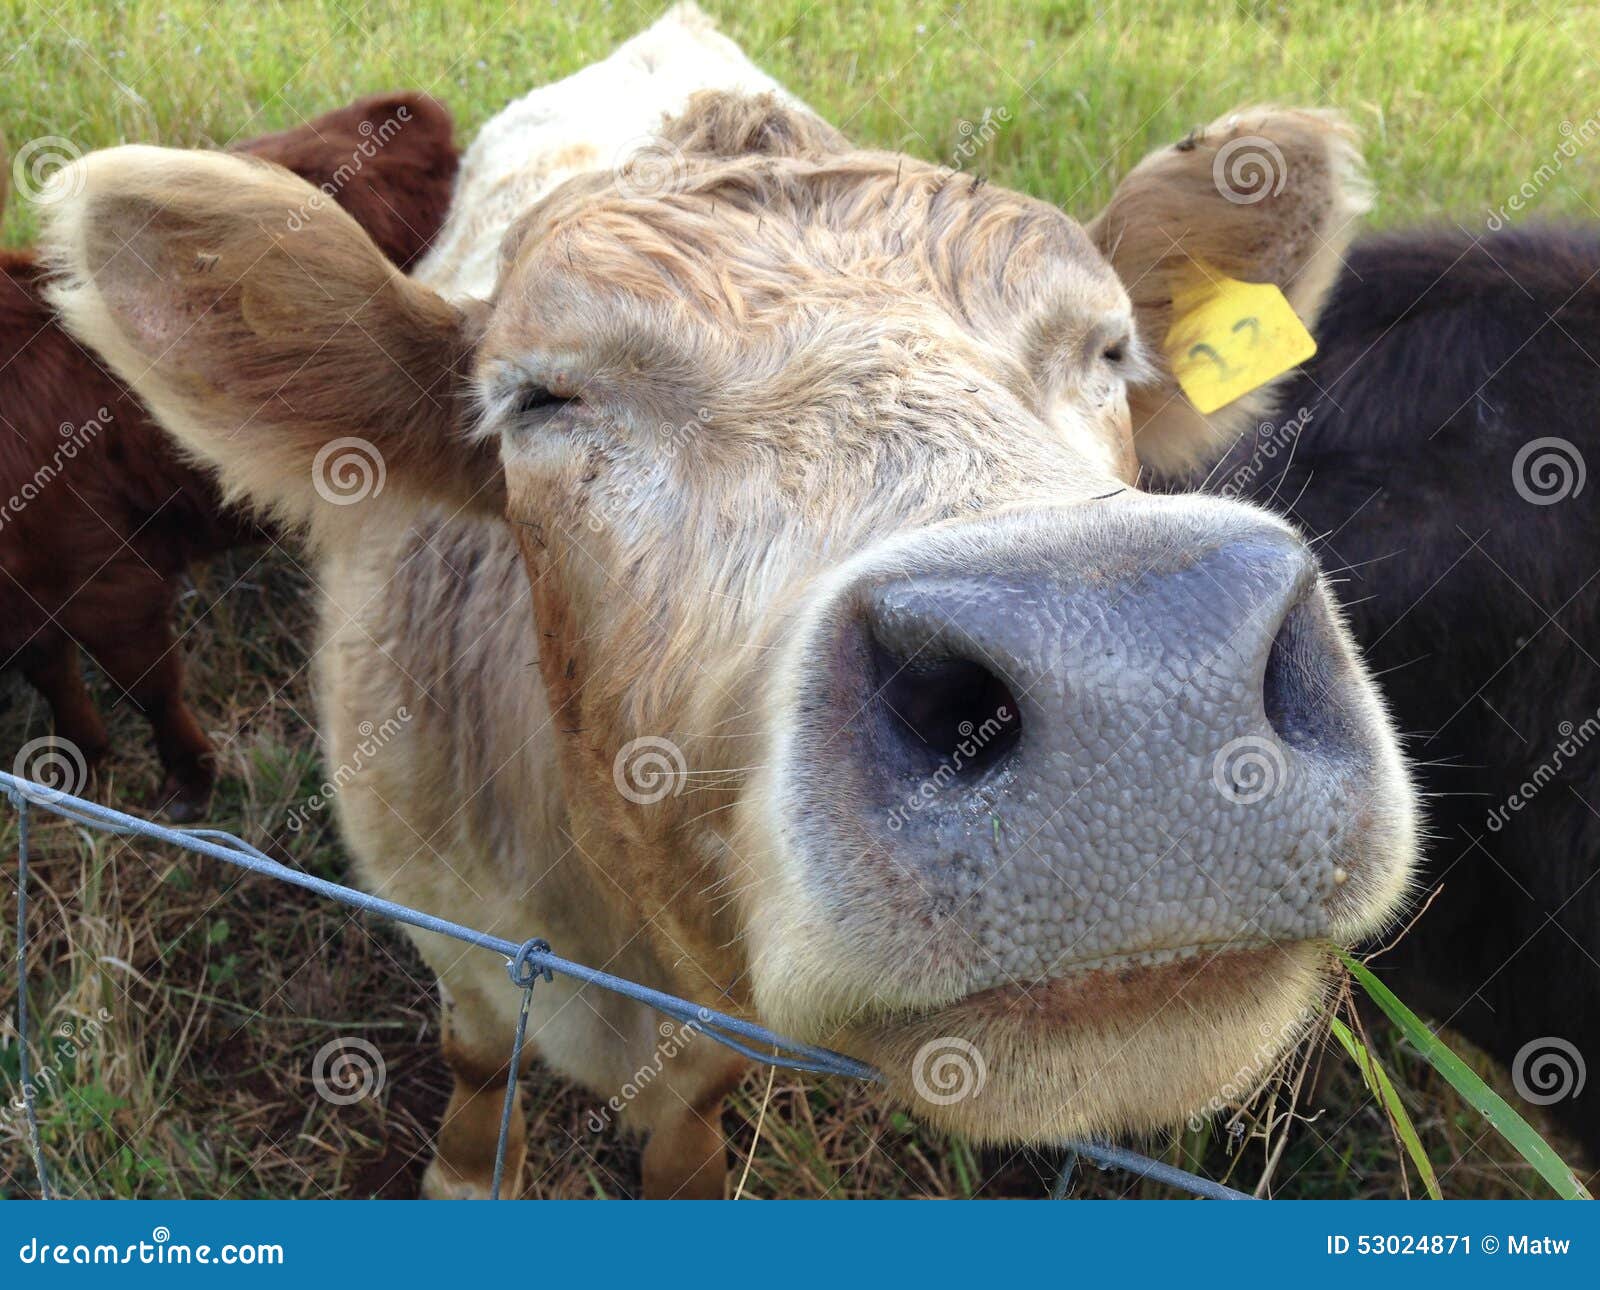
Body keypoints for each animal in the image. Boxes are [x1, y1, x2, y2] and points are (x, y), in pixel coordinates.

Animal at [1, 92, 458, 820]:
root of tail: (405, 105)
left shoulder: (110, 584)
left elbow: (149, 687)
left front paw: (189, 782)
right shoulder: (34, 606)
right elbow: (54, 675)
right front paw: (79, 759)